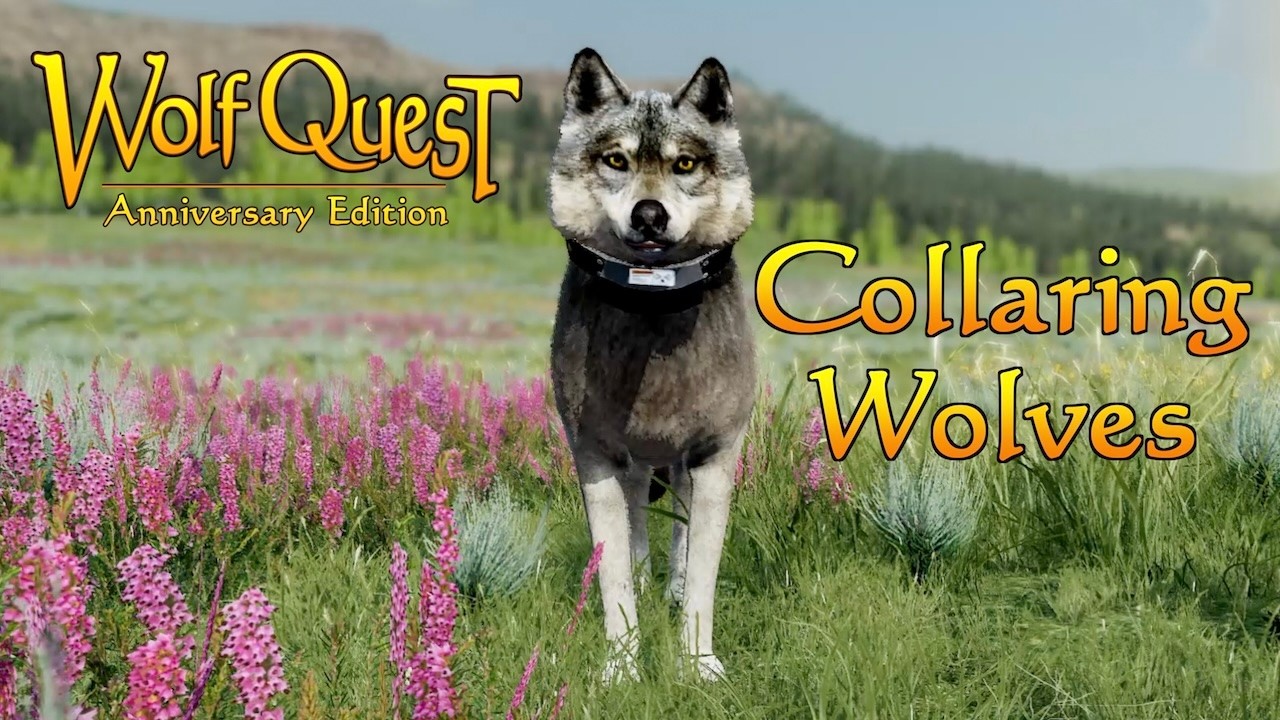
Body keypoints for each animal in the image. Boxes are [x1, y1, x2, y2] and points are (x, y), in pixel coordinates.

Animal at [547, 48, 757, 683]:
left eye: (684, 163)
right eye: (616, 159)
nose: (648, 215)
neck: (651, 302)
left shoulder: (713, 458)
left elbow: (702, 577)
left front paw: (698, 665)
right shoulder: (596, 458)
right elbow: (614, 574)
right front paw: (621, 669)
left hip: (684, 469)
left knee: (679, 545)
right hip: (634, 466)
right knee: (638, 526)